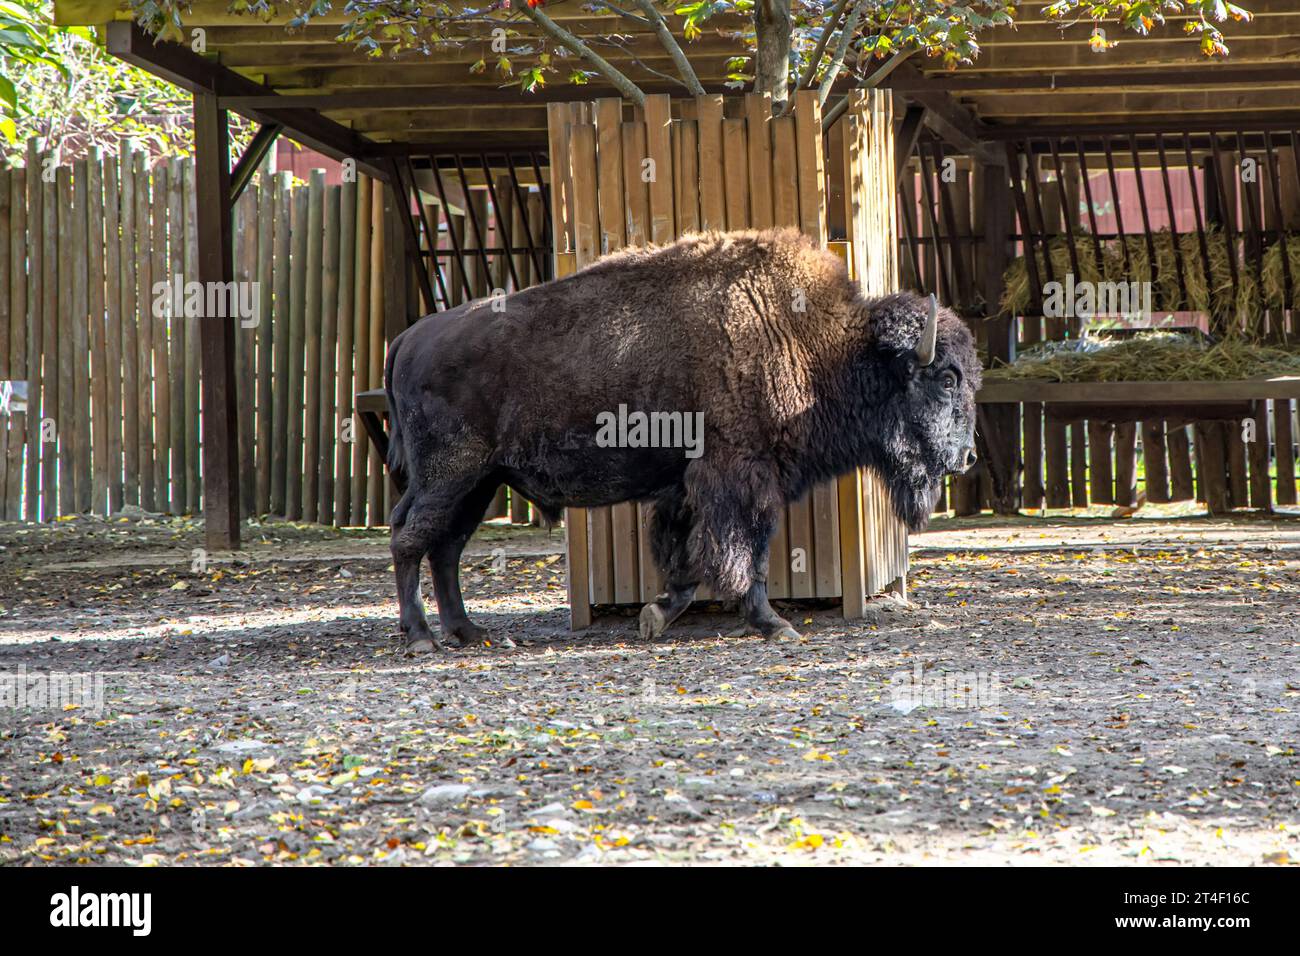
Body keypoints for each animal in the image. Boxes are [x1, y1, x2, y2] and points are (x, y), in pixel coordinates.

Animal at [384, 228, 980, 652]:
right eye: (946, 378)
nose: (968, 456)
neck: (815, 346)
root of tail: (408, 337)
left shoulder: (688, 487)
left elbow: (689, 560)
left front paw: (655, 615)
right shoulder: (742, 478)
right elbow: (745, 552)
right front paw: (774, 624)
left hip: (479, 483)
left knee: (444, 547)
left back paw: (470, 633)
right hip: (451, 475)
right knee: (411, 539)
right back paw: (423, 638)